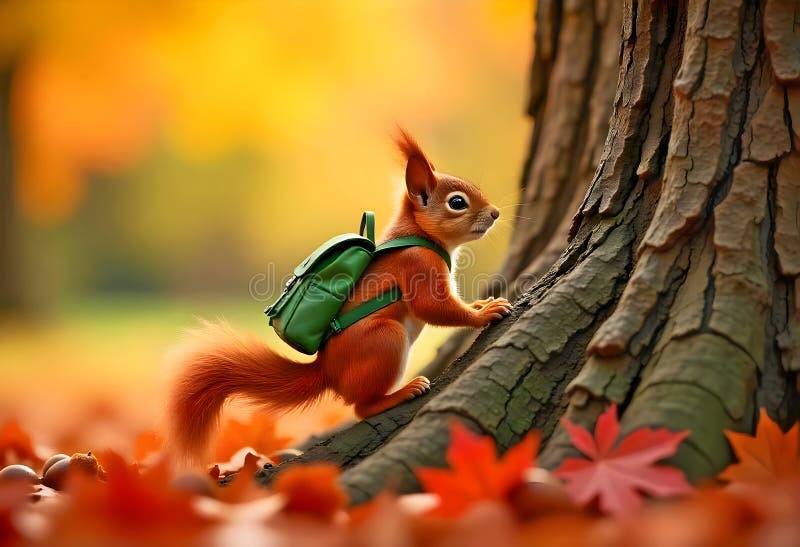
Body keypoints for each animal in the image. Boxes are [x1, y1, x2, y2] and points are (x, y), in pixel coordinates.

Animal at [166, 130, 512, 463]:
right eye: (457, 202)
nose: (495, 213)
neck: (419, 235)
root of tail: (327, 371)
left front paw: (482, 303)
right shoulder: (417, 265)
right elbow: (434, 307)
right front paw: (483, 313)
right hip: (384, 340)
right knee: (360, 407)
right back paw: (401, 393)